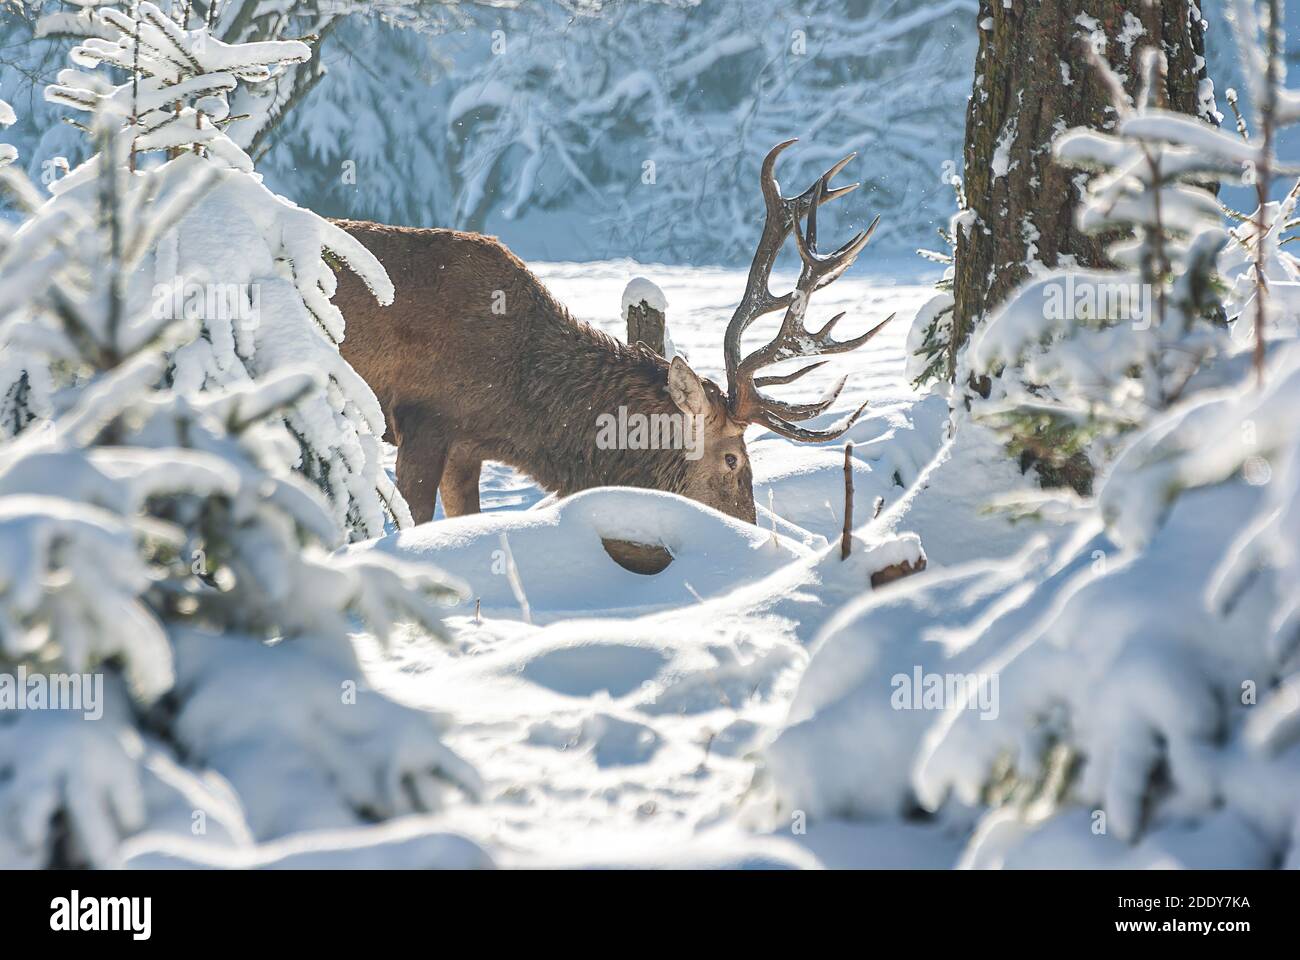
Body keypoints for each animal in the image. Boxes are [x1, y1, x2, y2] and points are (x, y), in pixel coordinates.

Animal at [332, 140, 892, 540]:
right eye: (733, 458)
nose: (747, 531)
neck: (512, 398)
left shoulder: (467, 448)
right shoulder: (422, 419)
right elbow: (414, 521)